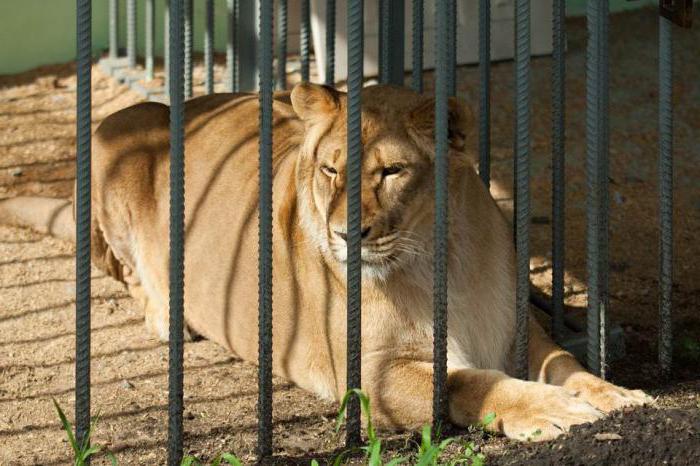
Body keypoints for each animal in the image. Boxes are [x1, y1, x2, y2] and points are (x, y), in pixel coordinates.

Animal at [0, 83, 652, 440]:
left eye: (391, 172)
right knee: (129, 271)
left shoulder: (520, 332)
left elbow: (568, 363)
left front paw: (616, 397)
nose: (345, 235)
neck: (439, 260)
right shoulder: (371, 378)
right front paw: (549, 411)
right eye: (331, 169)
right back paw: (169, 316)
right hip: (119, 129)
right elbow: (466, 382)